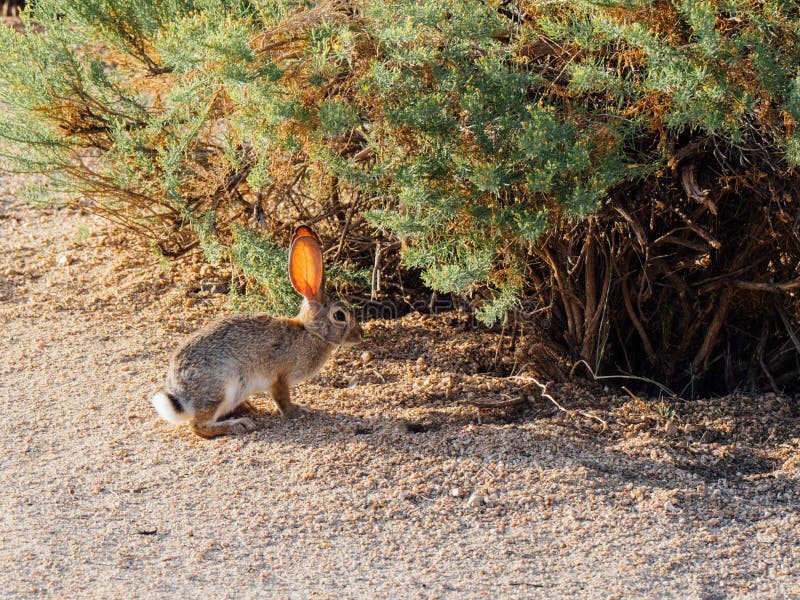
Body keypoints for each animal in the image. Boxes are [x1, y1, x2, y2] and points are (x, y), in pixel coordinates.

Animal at [151, 225, 362, 438]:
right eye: (340, 316)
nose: (360, 336)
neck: (311, 332)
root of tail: (179, 394)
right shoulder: (279, 377)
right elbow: (282, 399)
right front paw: (298, 411)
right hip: (222, 387)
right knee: (198, 426)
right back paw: (239, 424)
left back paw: (247, 408)